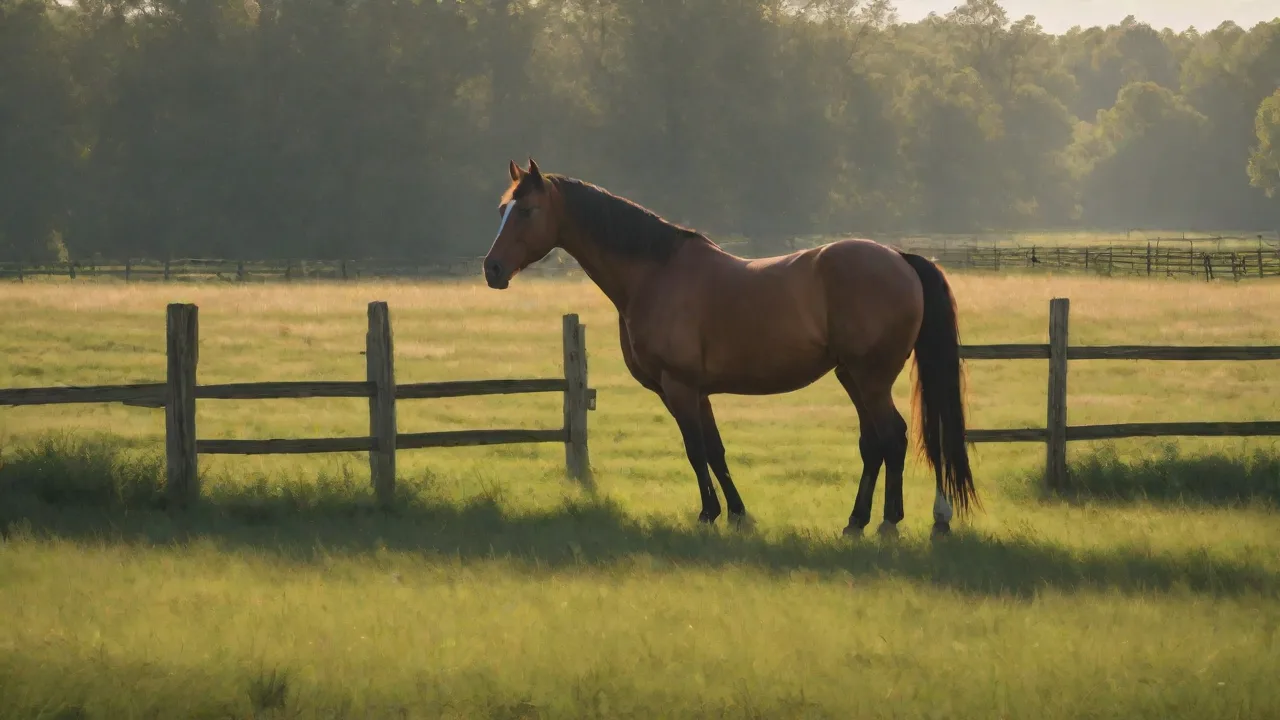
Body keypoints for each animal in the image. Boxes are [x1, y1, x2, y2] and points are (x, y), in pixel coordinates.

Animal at [482, 158, 979, 536]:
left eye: (526, 211)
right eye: (502, 208)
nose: (492, 269)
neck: (655, 274)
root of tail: (899, 258)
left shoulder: (678, 386)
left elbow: (695, 450)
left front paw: (708, 514)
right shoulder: (698, 390)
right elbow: (716, 451)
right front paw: (738, 514)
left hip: (870, 377)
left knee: (892, 437)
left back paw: (889, 522)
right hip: (851, 376)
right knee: (874, 443)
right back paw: (857, 522)